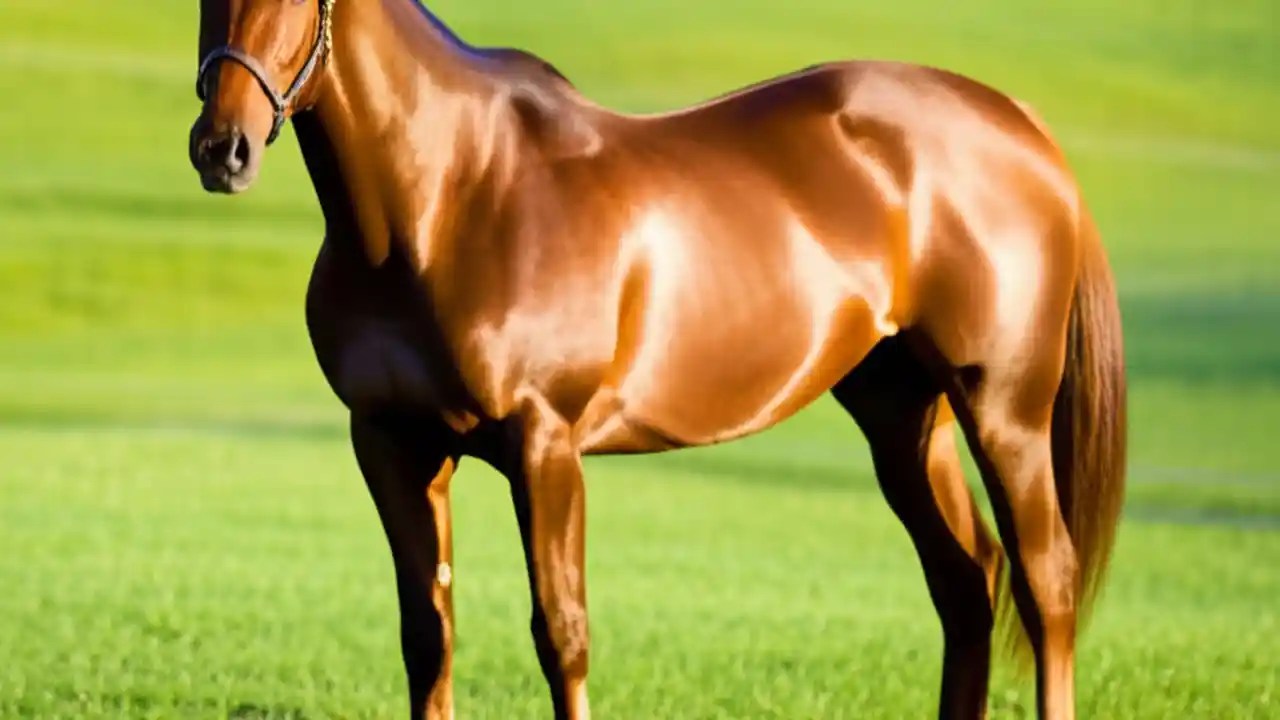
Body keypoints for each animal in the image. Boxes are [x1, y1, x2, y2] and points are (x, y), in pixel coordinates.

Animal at [188, 1, 1126, 718]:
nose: (221, 148)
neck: (447, 196)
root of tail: (1019, 123)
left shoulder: (543, 444)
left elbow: (561, 633)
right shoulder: (392, 445)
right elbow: (429, 635)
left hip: (1004, 411)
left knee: (1045, 584)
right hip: (902, 417)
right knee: (967, 585)